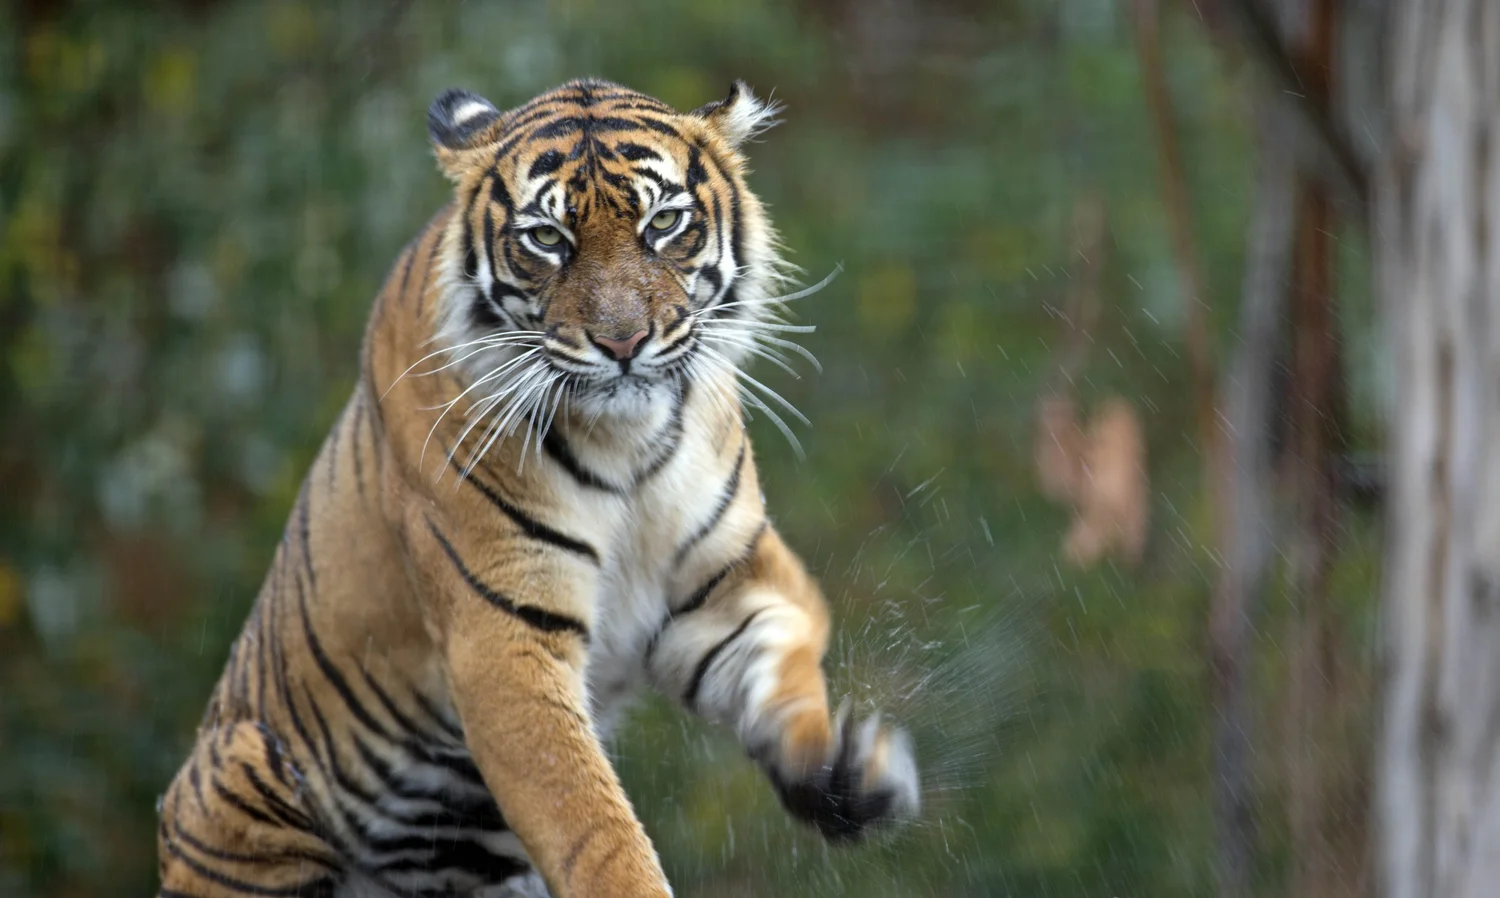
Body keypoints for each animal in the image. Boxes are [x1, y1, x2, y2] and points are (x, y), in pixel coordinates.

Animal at [155, 78, 920, 898]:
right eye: (547, 239)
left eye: (664, 223)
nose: (623, 342)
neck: (627, 442)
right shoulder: (505, 638)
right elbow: (591, 824)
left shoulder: (729, 590)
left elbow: (785, 656)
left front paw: (846, 772)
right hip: (242, 769)